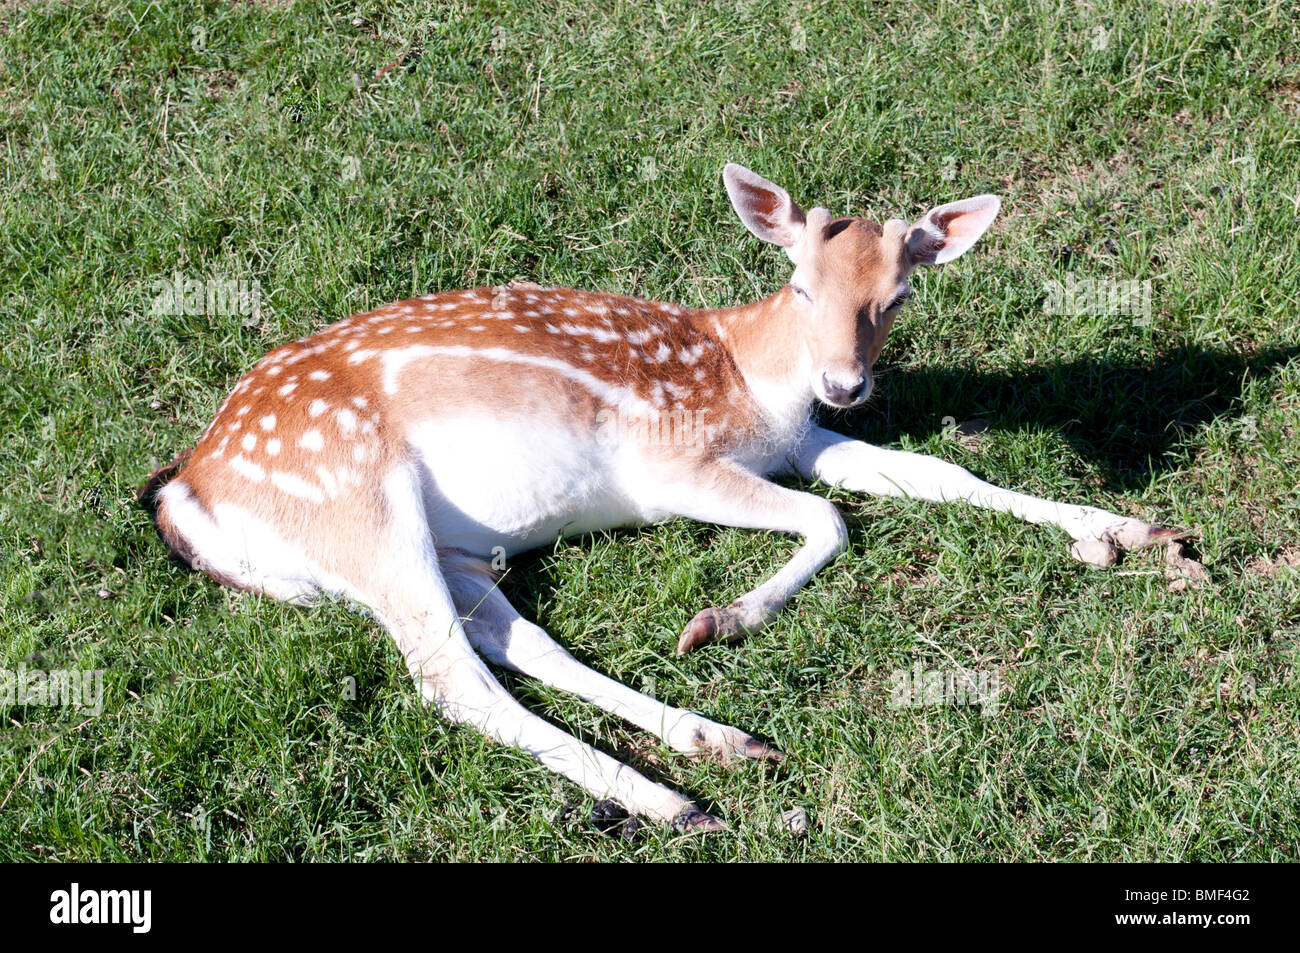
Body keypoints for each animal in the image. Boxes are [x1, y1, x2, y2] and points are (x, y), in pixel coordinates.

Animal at [142, 164, 1183, 832]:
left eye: (898, 294)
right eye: (800, 285)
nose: (845, 382)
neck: (755, 376)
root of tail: (188, 494)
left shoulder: (797, 440)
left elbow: (935, 476)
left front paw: (1129, 531)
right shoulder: (669, 465)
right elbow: (830, 516)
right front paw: (723, 618)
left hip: (453, 546)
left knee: (523, 645)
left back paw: (716, 742)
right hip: (358, 502)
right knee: (449, 679)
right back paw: (670, 803)